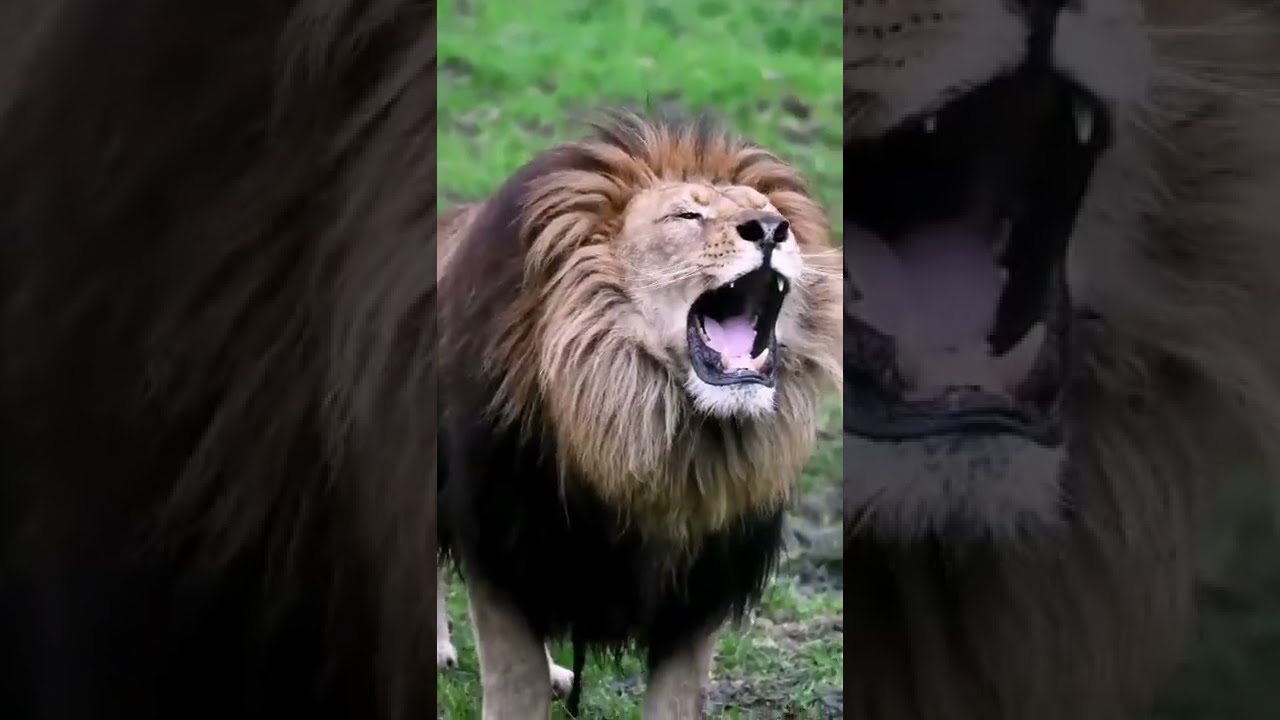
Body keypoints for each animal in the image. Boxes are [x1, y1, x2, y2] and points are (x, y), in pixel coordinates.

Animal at [436, 113, 842, 717]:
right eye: (686, 216)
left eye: (778, 216)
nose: (771, 229)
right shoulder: (504, 552)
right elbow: (515, 688)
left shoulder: (698, 595)